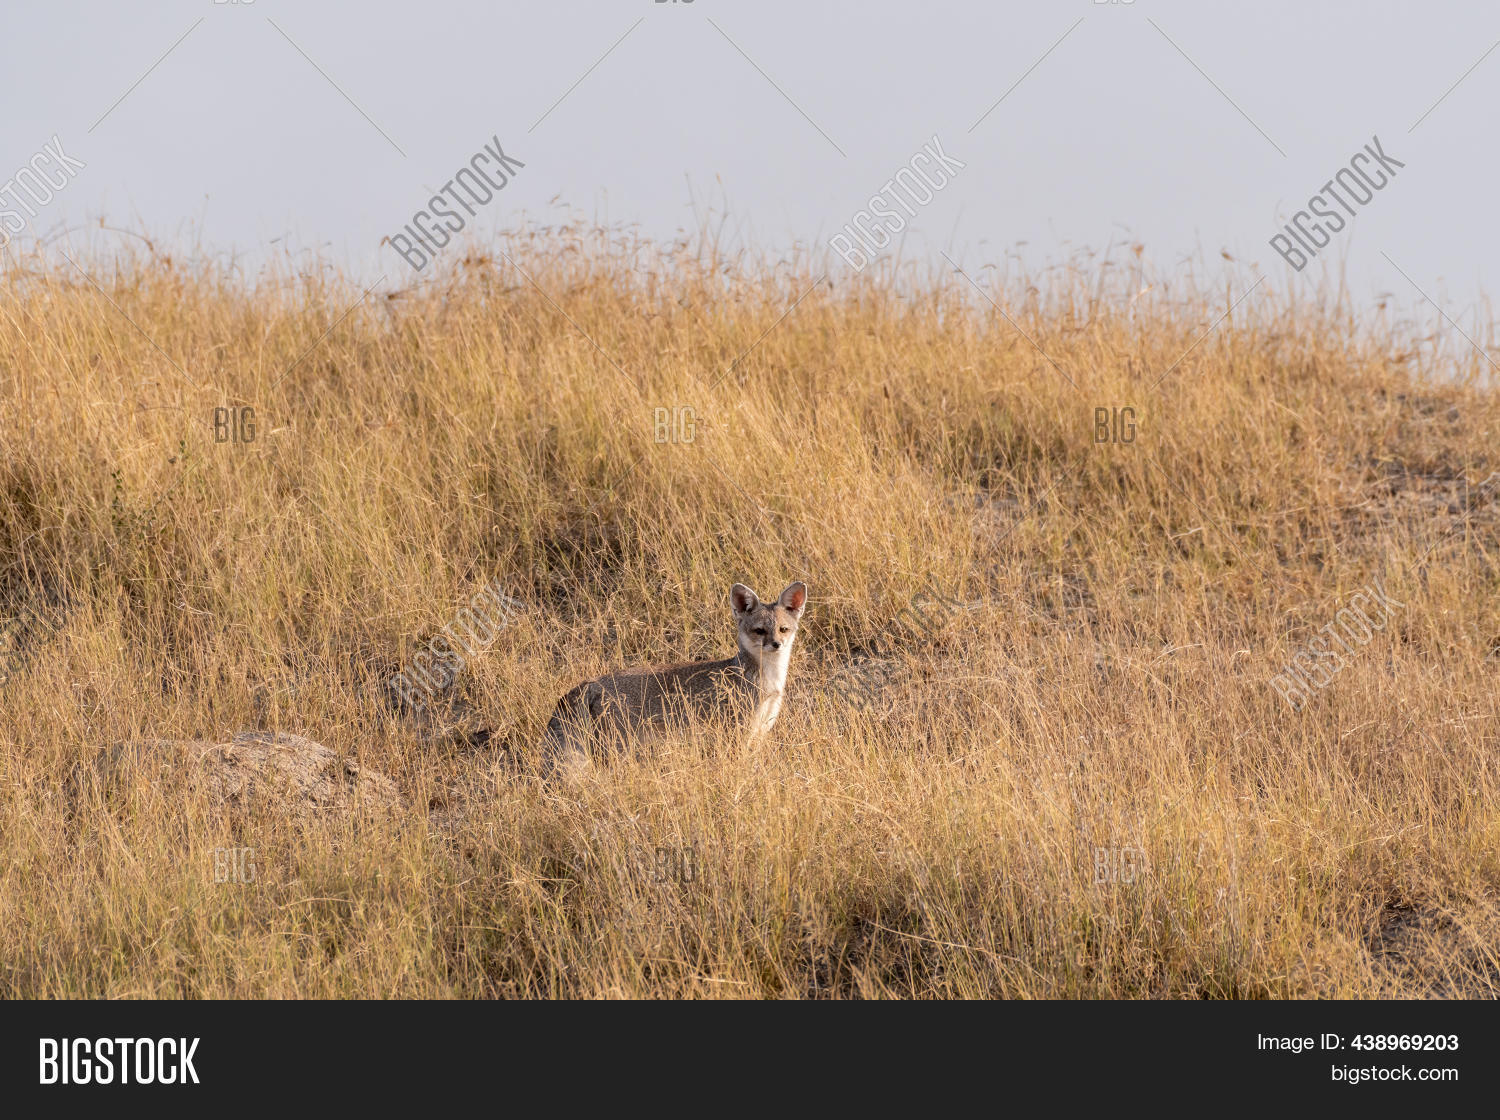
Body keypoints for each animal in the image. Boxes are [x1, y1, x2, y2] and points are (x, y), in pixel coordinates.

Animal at [542, 581, 808, 773]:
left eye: (783, 629)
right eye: (759, 631)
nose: (776, 644)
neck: (769, 681)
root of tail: (592, 683)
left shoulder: (759, 732)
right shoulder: (737, 735)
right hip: (617, 750)